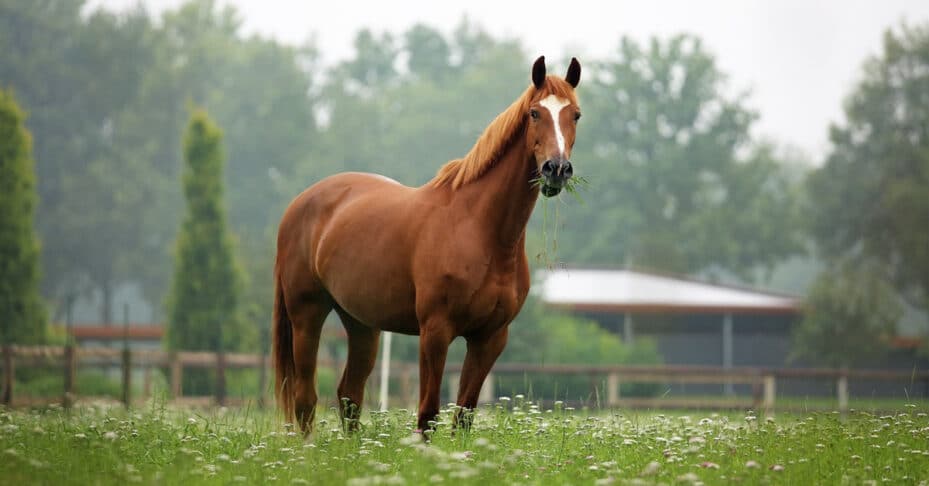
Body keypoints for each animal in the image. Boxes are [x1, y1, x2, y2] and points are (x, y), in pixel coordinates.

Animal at [273, 55, 582, 435]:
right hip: (307, 314)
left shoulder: (490, 338)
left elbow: (463, 417)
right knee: (305, 400)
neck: (480, 230)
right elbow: (428, 415)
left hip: (361, 323)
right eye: (535, 113)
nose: (557, 169)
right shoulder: (435, 331)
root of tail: (300, 203)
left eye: (576, 114)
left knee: (349, 395)